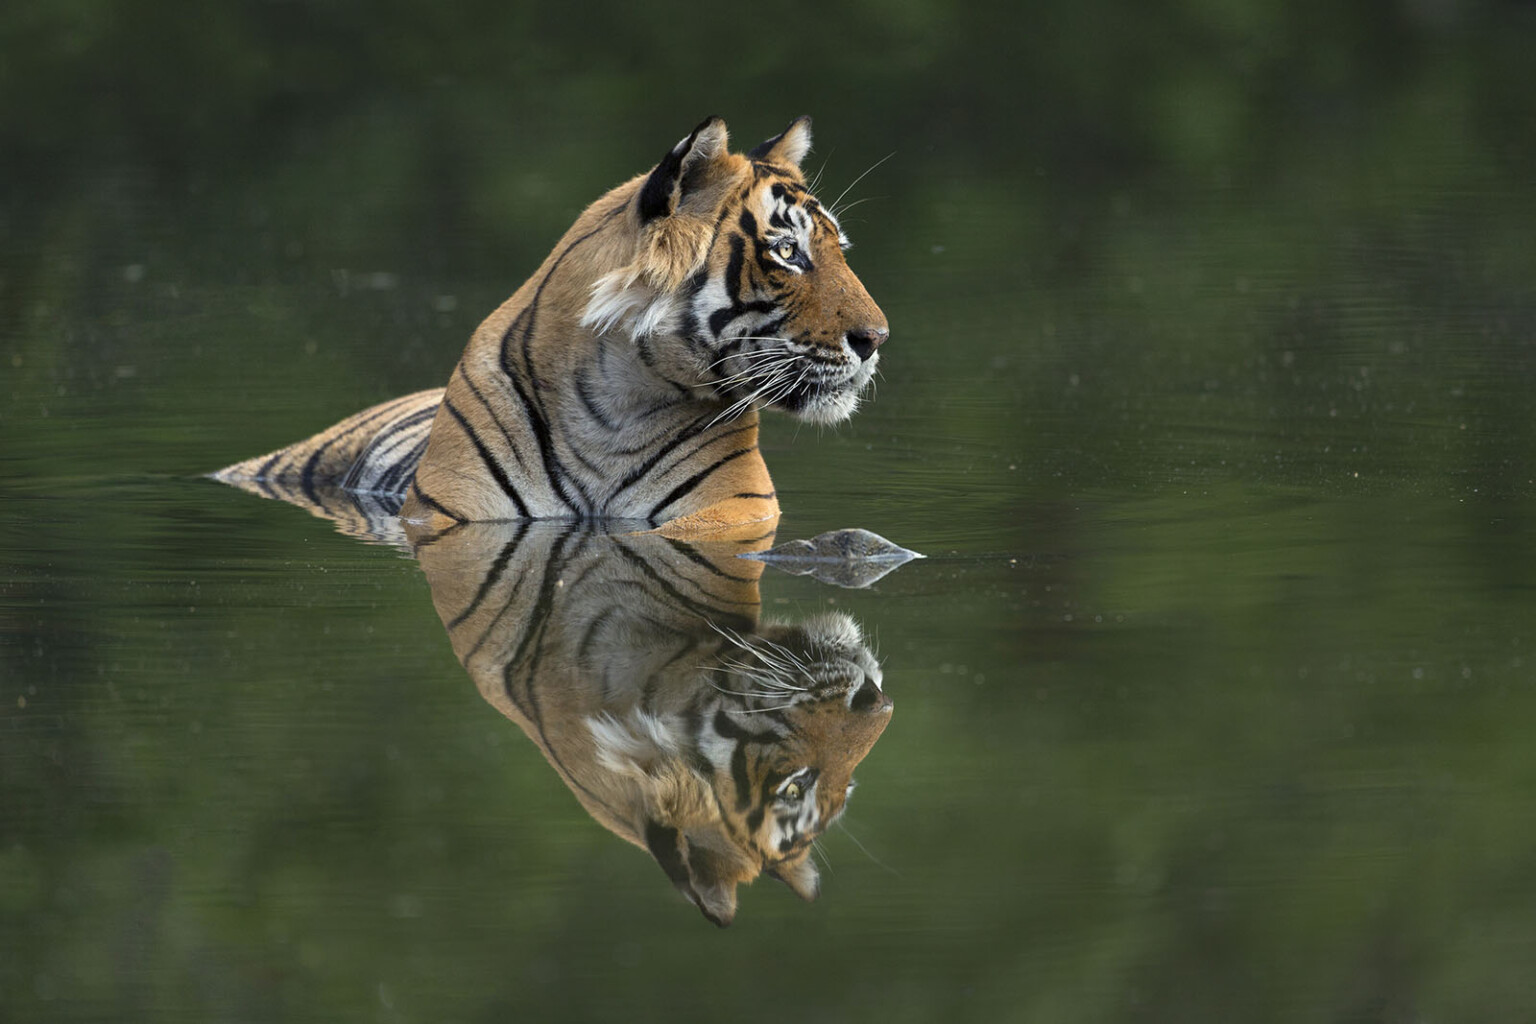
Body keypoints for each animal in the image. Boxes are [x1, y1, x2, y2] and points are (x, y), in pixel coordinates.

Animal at [214, 116, 888, 538]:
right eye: (788, 253)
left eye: (837, 249)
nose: (877, 339)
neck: (619, 406)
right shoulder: (453, 514)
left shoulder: (734, 511)